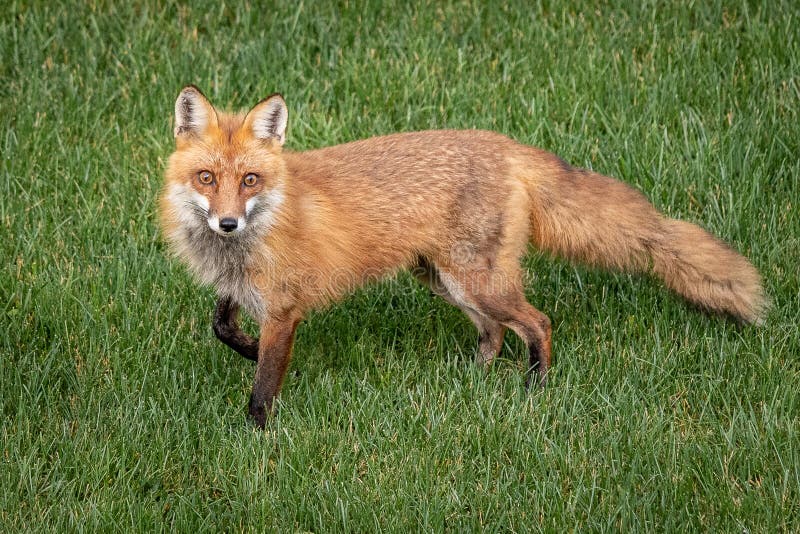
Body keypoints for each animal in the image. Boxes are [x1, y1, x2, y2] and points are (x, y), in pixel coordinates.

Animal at [160, 85, 767, 428]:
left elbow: (264, 384)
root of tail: (508, 145)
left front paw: (257, 437)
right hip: (446, 280)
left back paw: (534, 390)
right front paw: (248, 351)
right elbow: (222, 326)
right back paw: (473, 382)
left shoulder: (284, 308)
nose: (228, 222)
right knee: (496, 334)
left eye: (250, 180)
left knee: (538, 323)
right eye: (207, 178)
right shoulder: (242, 292)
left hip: (478, 281)